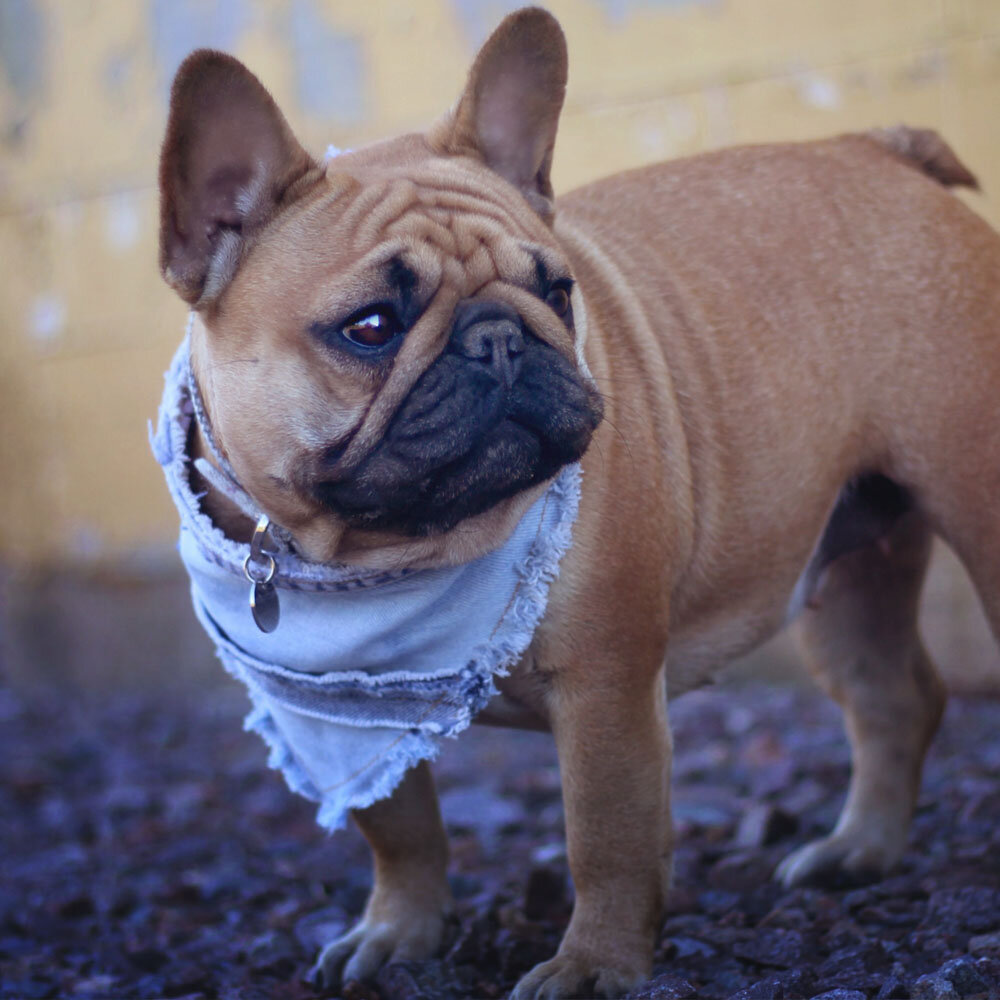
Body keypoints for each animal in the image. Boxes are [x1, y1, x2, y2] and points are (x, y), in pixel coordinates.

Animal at [156, 7, 1000, 1000]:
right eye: (369, 327)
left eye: (556, 290)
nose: (499, 339)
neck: (391, 550)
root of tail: (877, 146)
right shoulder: (339, 714)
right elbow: (398, 830)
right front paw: (398, 933)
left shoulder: (607, 686)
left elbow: (608, 835)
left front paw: (594, 964)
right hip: (850, 563)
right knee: (890, 696)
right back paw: (858, 851)